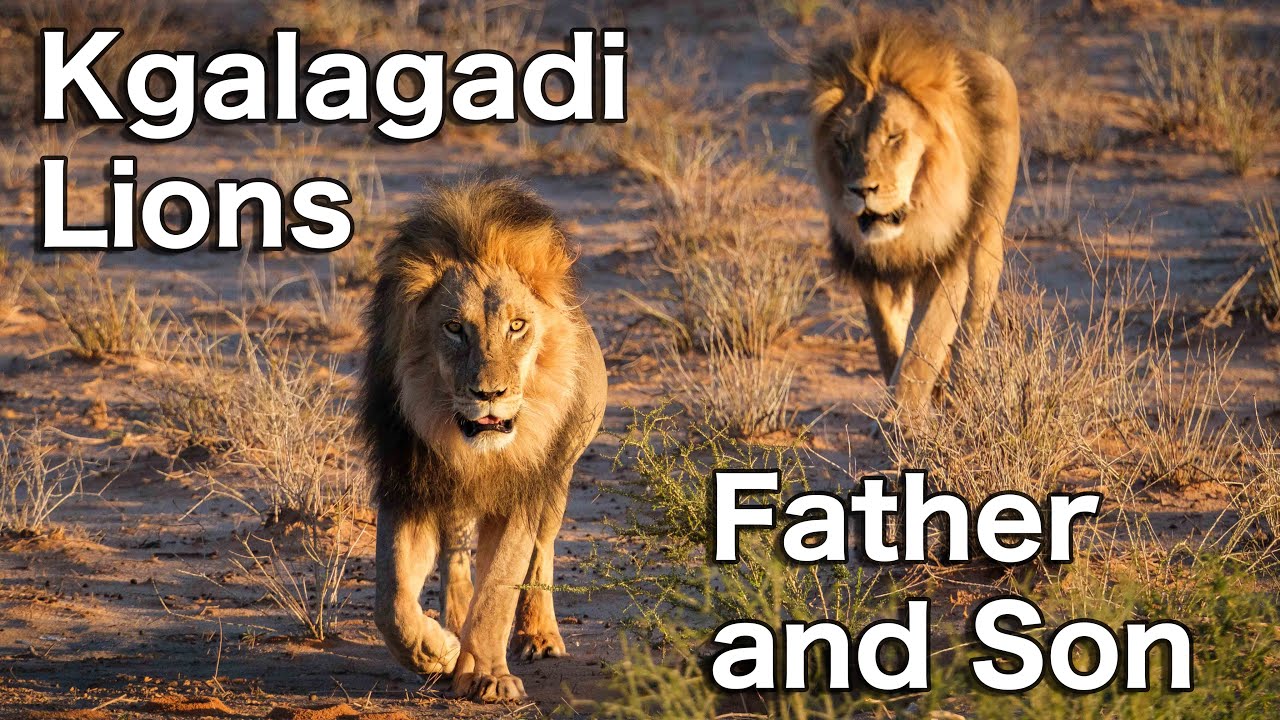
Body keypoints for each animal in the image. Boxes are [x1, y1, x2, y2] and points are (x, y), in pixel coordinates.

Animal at [359, 177, 607, 702]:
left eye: (517, 326)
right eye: (455, 328)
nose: (489, 394)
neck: (473, 451)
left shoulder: (521, 494)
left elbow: (499, 586)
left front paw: (489, 675)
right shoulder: (410, 483)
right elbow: (392, 601)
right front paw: (441, 652)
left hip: (558, 479)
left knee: (541, 553)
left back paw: (538, 635)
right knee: (455, 553)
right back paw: (455, 630)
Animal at [808, 23, 1020, 413]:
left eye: (894, 136)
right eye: (842, 142)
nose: (861, 189)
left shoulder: (948, 262)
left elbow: (922, 347)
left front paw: (901, 416)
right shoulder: (872, 272)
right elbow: (890, 342)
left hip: (986, 242)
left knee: (971, 328)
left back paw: (959, 395)